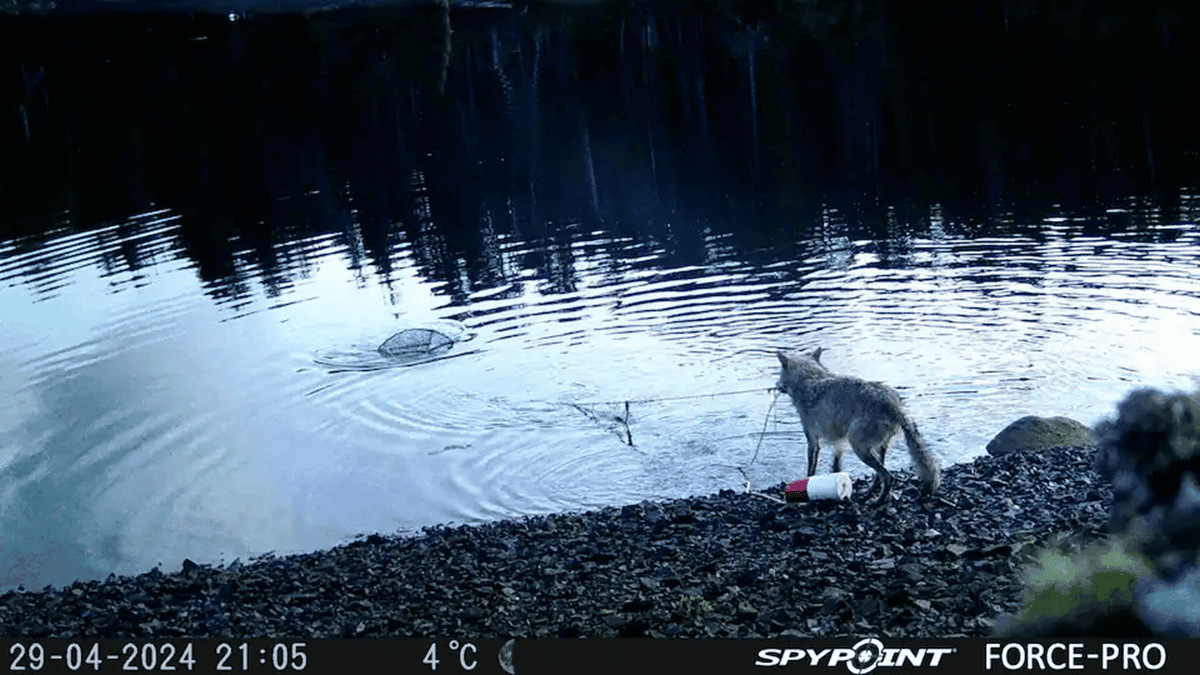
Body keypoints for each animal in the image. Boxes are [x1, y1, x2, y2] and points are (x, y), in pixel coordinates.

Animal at [775, 347, 941, 505]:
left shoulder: (813, 441)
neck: (811, 378)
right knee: (879, 475)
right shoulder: (839, 443)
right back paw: (869, 492)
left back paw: (877, 502)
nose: (775, 385)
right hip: (875, 448)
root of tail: (895, 405)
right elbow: (836, 466)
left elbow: (811, 468)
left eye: (779, 372)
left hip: (859, 447)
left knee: (888, 476)